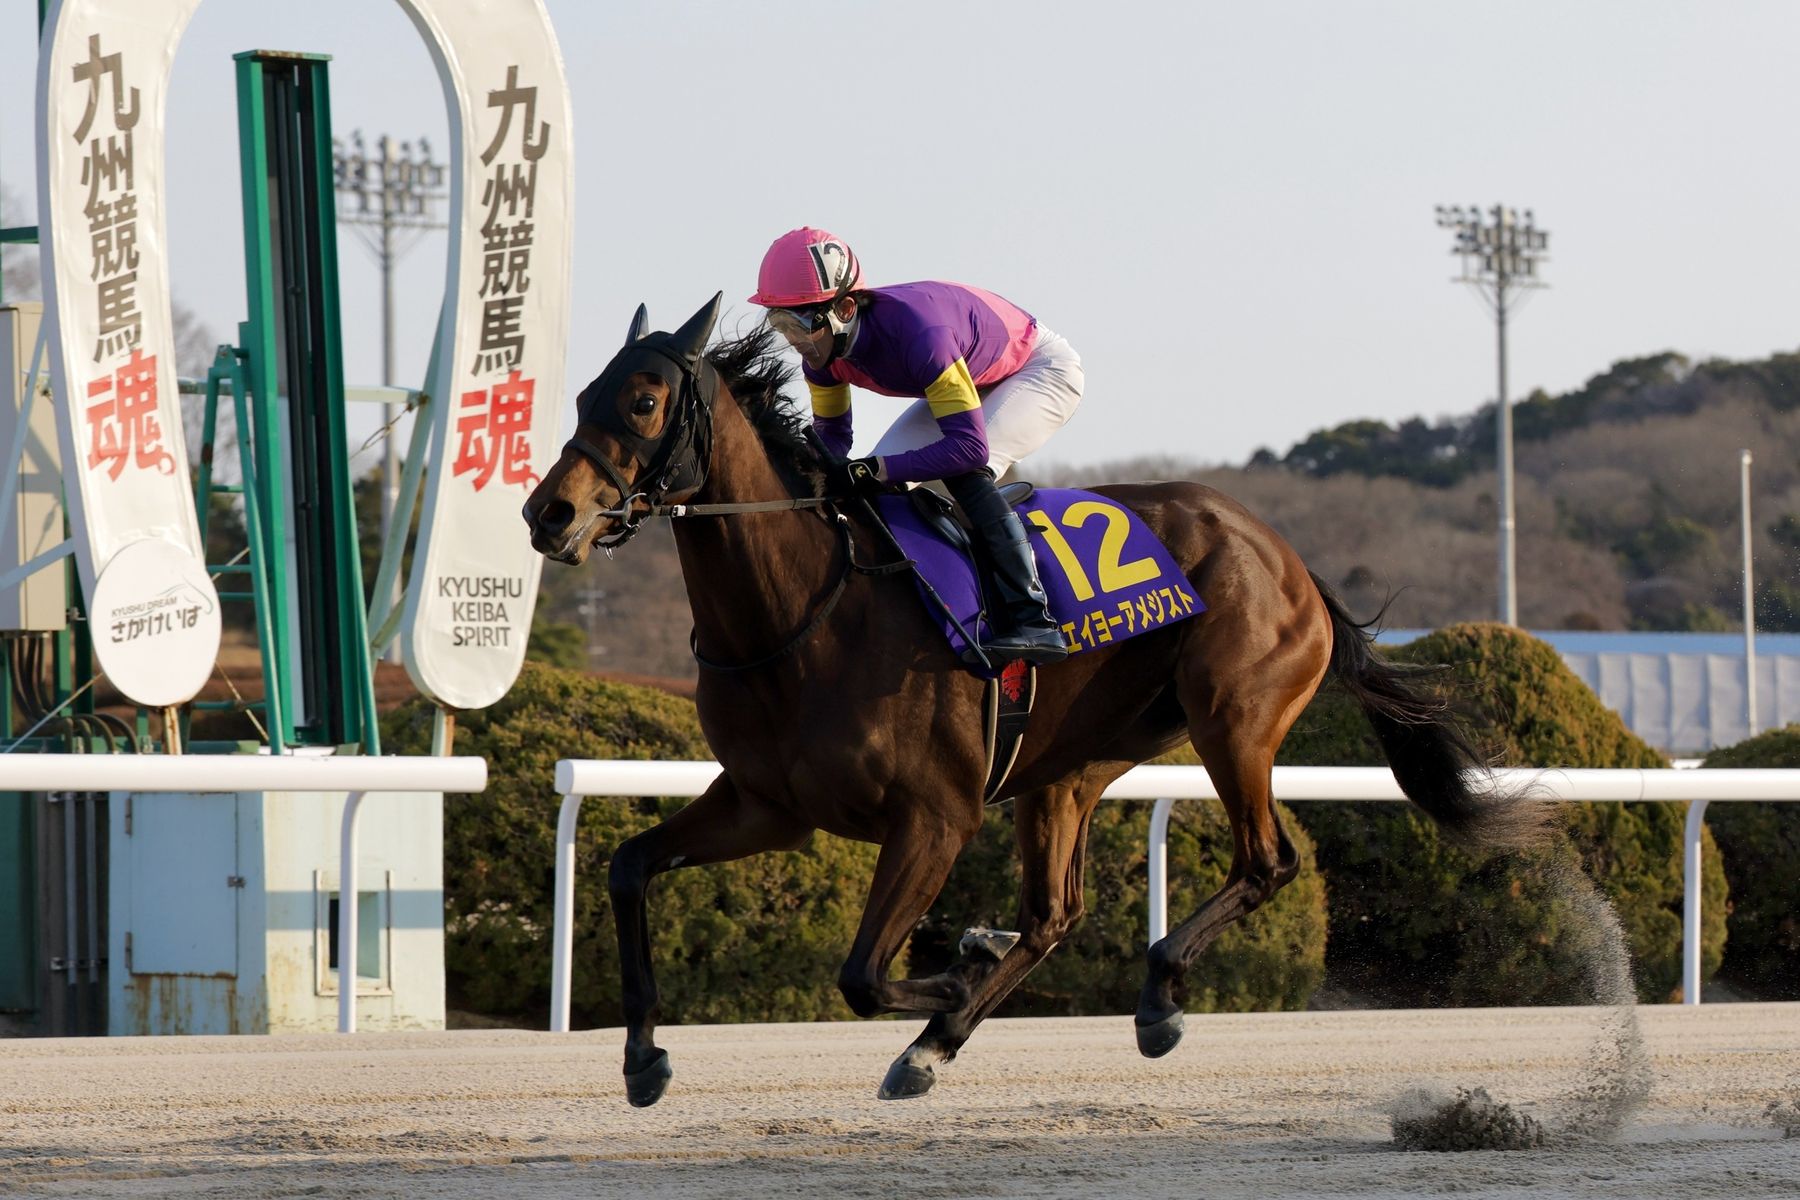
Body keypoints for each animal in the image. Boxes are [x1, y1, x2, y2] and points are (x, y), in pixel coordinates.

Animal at [522, 295, 1540, 1107]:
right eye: (580, 397)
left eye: (644, 401)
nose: (549, 514)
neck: (805, 610)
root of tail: (1287, 555)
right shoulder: (768, 804)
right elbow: (629, 869)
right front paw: (643, 1060)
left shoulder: (936, 815)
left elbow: (862, 974)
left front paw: (958, 964)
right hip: (1070, 766)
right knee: (1056, 913)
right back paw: (948, 1040)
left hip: (1232, 718)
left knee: (1266, 860)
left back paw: (1145, 996)